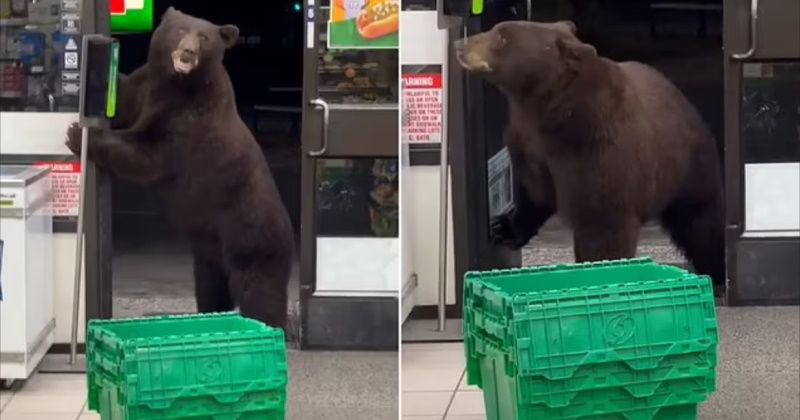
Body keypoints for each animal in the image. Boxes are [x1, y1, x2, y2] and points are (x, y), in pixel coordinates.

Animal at [65, 7, 295, 328]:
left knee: (260, 294)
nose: (188, 51)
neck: (176, 85)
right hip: (209, 257)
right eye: (181, 29)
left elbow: (148, 152)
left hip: (253, 240)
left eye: (204, 37)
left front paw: (78, 134)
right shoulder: (145, 86)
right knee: (210, 291)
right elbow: (124, 98)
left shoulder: (190, 123)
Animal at [454, 21, 726, 291]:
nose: (459, 45)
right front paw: (502, 227)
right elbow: (533, 191)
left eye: (502, 36)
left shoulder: (597, 152)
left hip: (687, 169)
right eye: (495, 29)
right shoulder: (527, 142)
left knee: (701, 225)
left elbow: (602, 225)